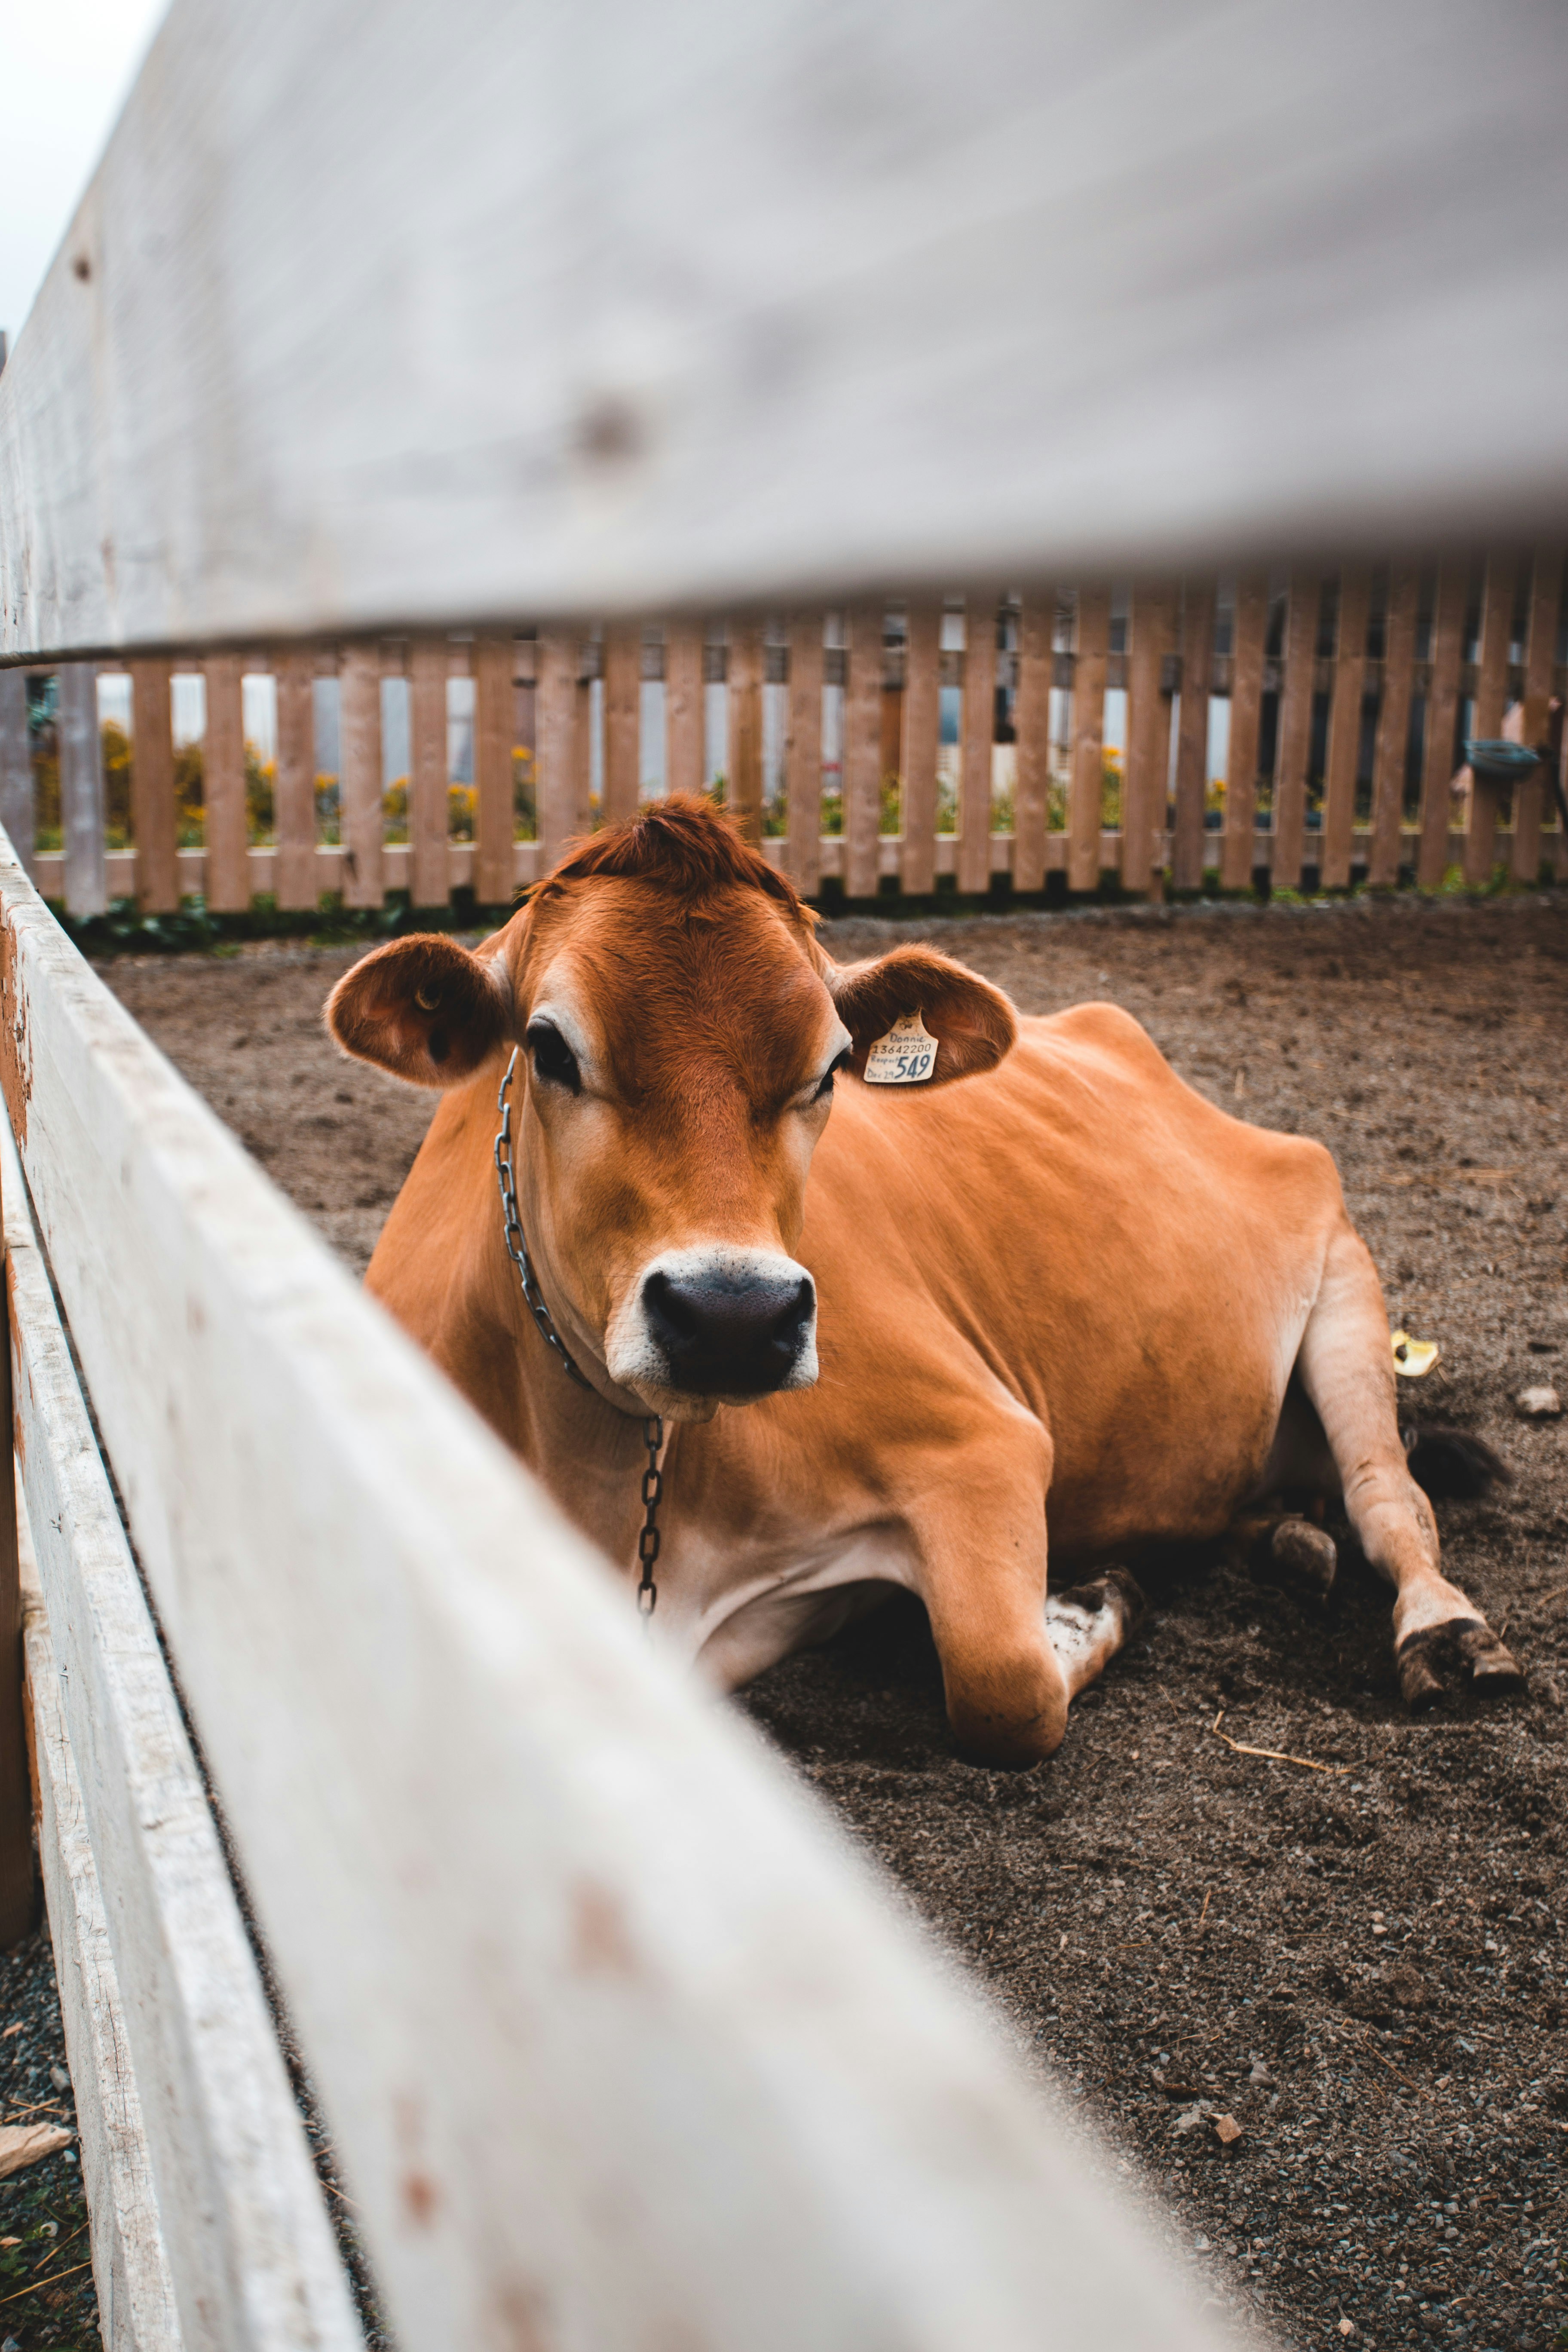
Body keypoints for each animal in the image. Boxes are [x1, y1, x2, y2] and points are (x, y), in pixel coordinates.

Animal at [325, 795, 1520, 1762]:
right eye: (548, 1047)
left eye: (827, 1069)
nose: (731, 1316)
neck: (615, 1490)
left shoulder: (983, 1443)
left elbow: (1005, 1684)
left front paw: (1097, 1596)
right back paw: (1281, 1536)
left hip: (1343, 1271)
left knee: (1389, 1492)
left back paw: (1444, 1627)